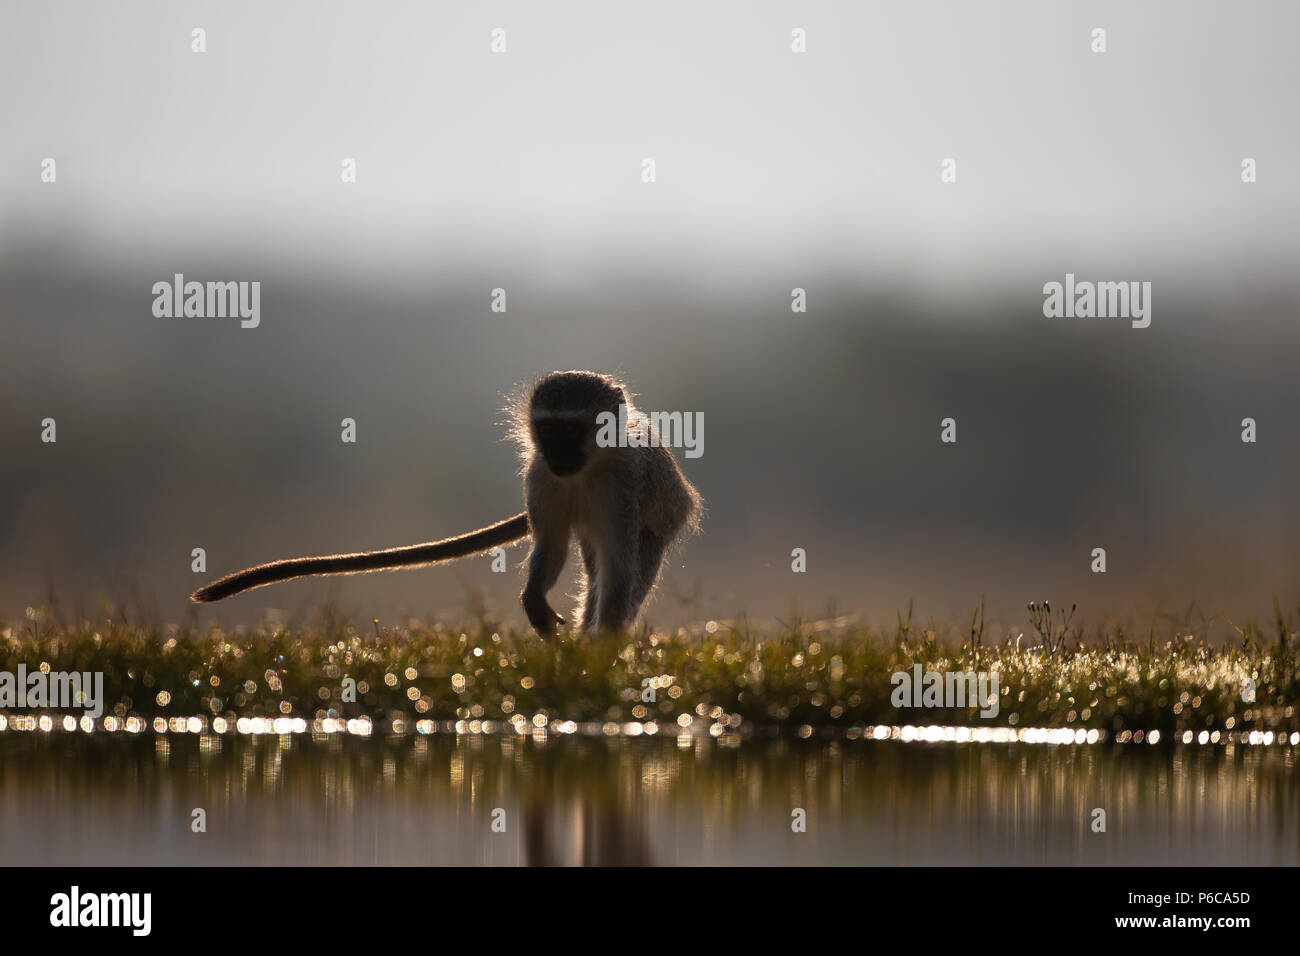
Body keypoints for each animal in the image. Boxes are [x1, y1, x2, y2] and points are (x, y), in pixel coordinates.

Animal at [190, 371, 701, 636]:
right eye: (549, 430)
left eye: (571, 429)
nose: (557, 456)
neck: (587, 466)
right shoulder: (539, 478)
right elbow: (552, 547)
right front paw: (535, 603)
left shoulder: (625, 486)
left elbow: (621, 564)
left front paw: (602, 645)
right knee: (593, 570)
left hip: (661, 523)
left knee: (629, 567)